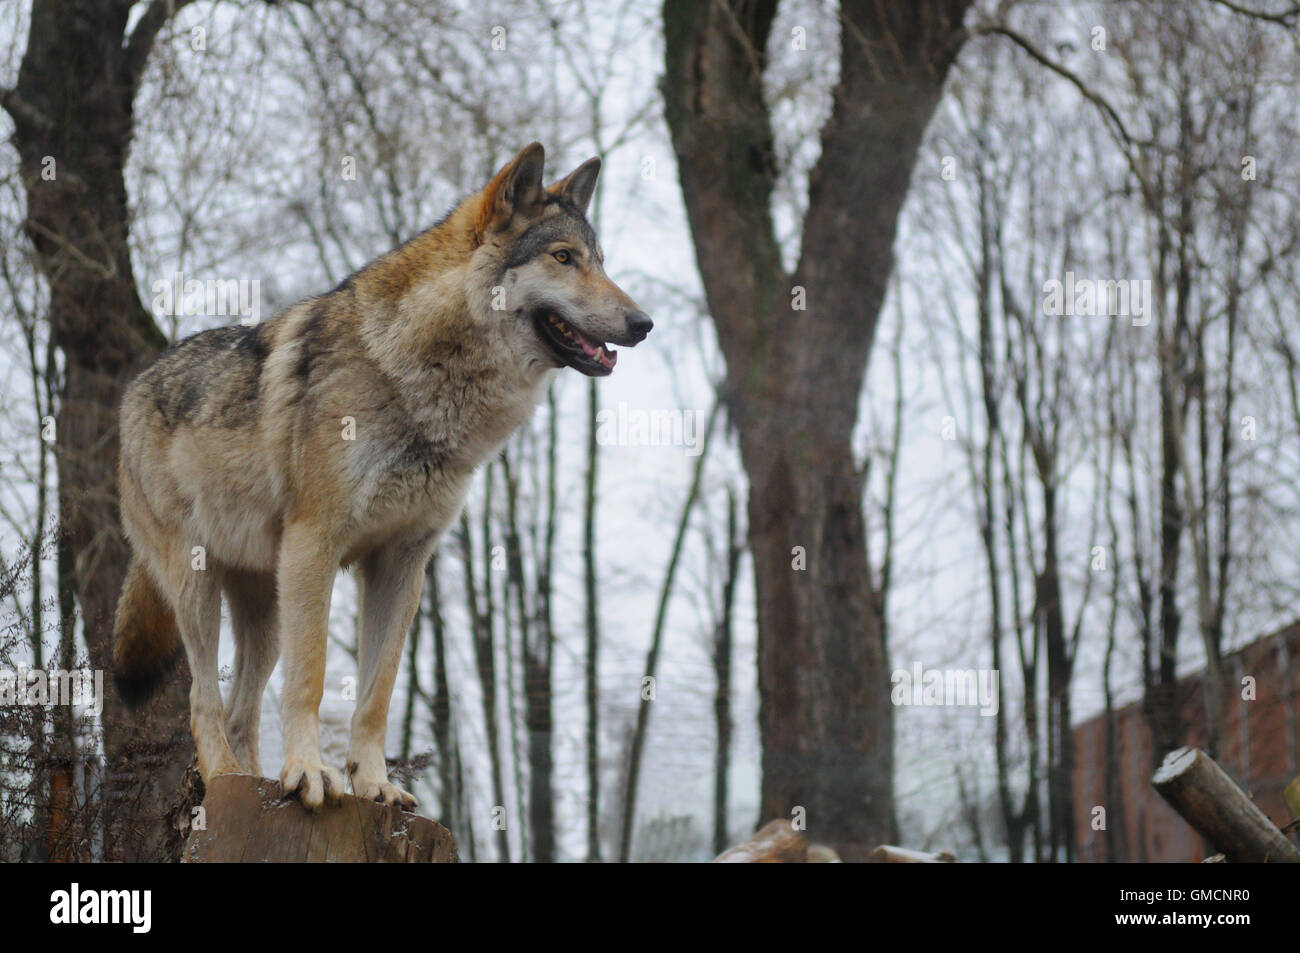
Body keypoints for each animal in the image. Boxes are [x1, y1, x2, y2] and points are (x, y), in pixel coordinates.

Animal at [111, 143, 650, 810]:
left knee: (240, 710)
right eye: (563, 258)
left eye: (600, 262)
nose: (644, 323)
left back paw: (252, 781)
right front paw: (311, 773)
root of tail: (136, 385)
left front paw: (373, 785)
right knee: (200, 702)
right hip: (201, 585)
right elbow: (312, 678)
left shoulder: (402, 562)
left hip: (266, 607)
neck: (418, 377)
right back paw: (227, 781)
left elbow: (378, 692)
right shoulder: (315, 545)